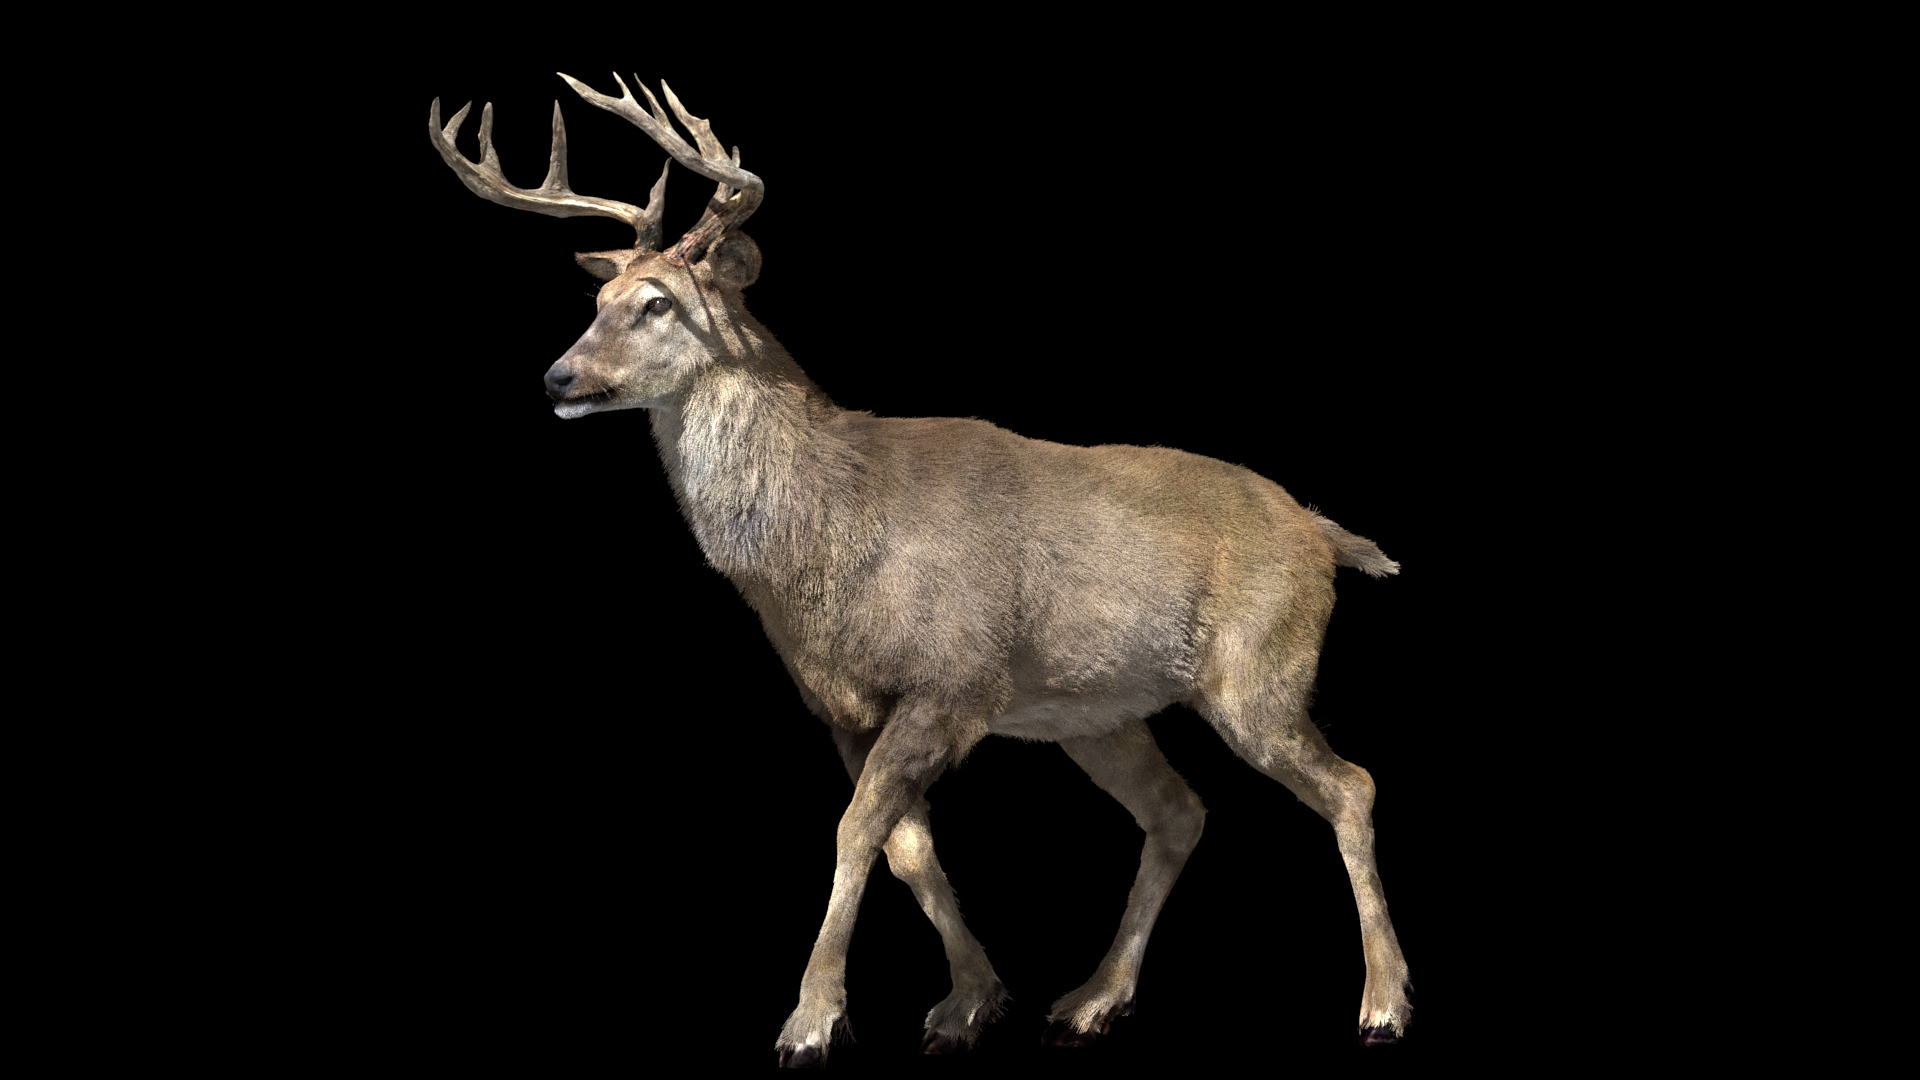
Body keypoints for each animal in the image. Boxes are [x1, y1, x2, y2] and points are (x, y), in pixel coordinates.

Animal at [427, 72, 1414, 1067]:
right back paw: (1092, 1000)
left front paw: (811, 1020)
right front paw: (970, 1001)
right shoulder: (843, 705)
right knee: (1179, 810)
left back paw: (1381, 1003)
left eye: (658, 302)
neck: (826, 540)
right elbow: (905, 847)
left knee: (1349, 785)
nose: (557, 378)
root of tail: (1320, 532)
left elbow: (855, 829)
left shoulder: (951, 680)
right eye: (599, 302)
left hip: (1260, 670)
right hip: (1096, 711)